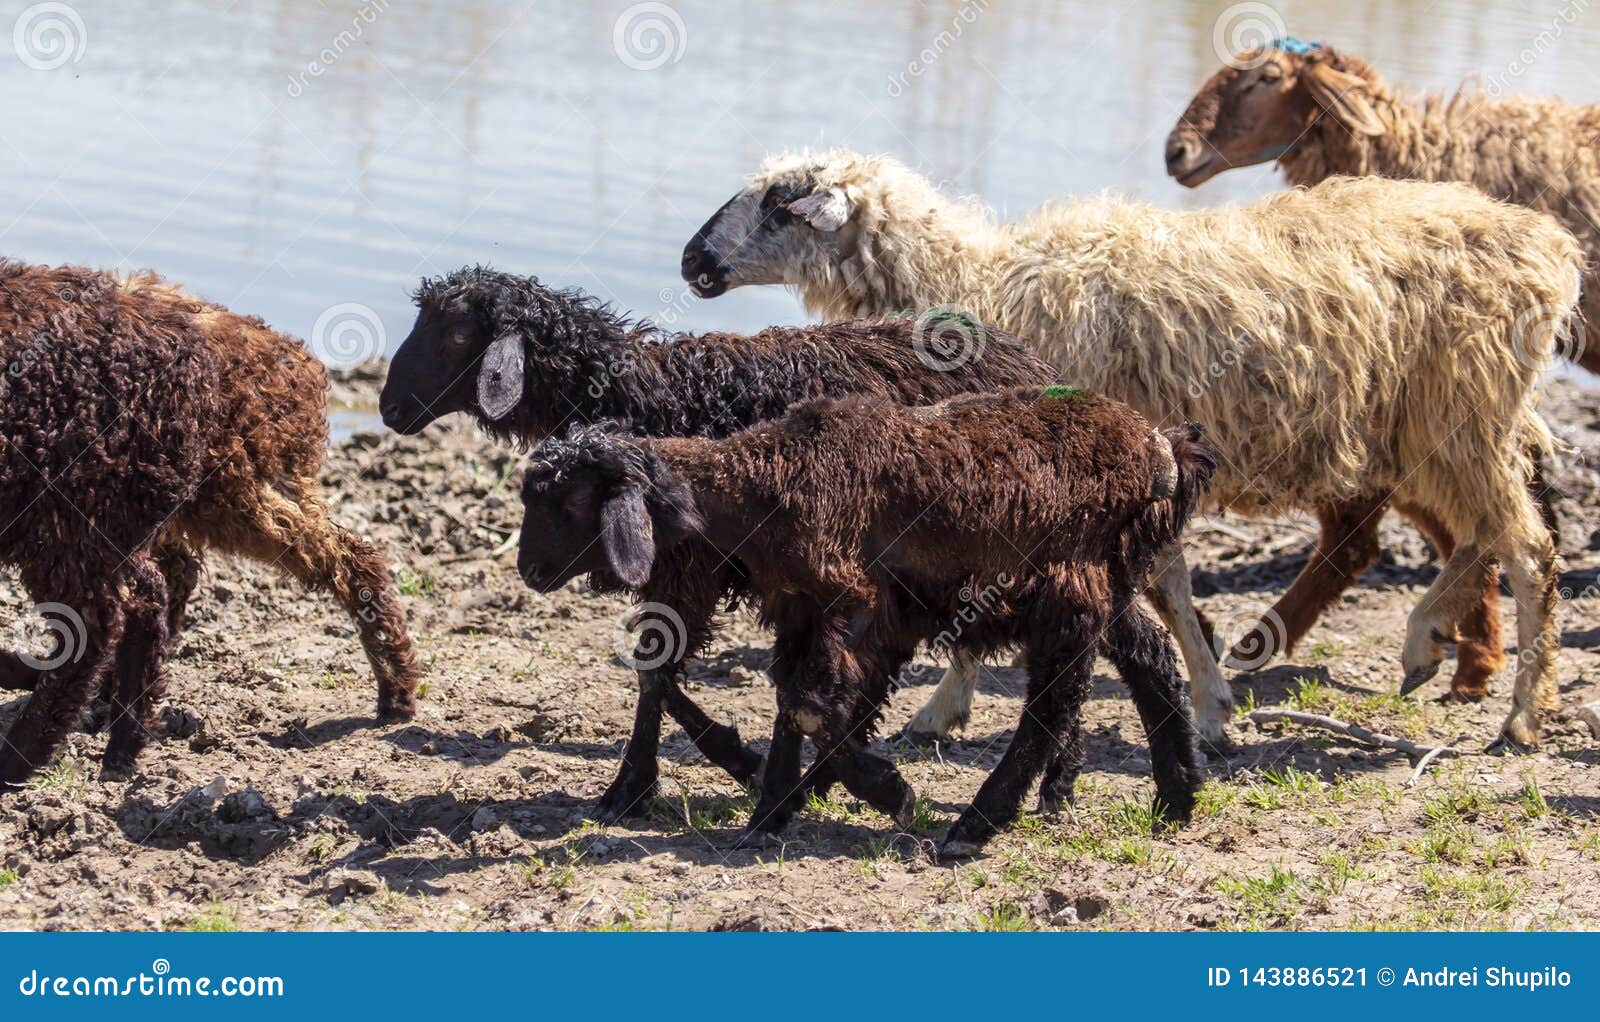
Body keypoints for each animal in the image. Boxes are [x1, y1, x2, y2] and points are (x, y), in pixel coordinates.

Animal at [378, 268, 1056, 818]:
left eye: (457, 336)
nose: (387, 408)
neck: (657, 400)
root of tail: (1031, 361)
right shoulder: (679, 569)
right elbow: (660, 672)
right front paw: (724, 767)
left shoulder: (694, 568)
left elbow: (659, 675)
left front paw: (642, 784)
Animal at [515, 388, 1212, 856]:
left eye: (571, 502)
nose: (527, 569)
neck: (763, 483)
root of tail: (1162, 449)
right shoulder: (803, 609)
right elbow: (790, 701)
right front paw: (769, 811)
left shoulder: (859, 602)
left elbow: (810, 706)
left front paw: (886, 790)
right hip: (1108, 580)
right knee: (1148, 657)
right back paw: (1176, 797)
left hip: (1070, 583)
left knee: (1051, 702)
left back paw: (976, 824)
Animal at [681, 149, 1580, 751]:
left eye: (778, 205)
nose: (692, 260)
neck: (980, 283)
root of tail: (1549, 245)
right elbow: (1171, 586)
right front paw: (1213, 701)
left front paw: (943, 707)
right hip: (1451, 419)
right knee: (1493, 529)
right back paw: (1428, 638)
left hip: (1461, 407)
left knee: (1528, 547)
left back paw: (1520, 717)